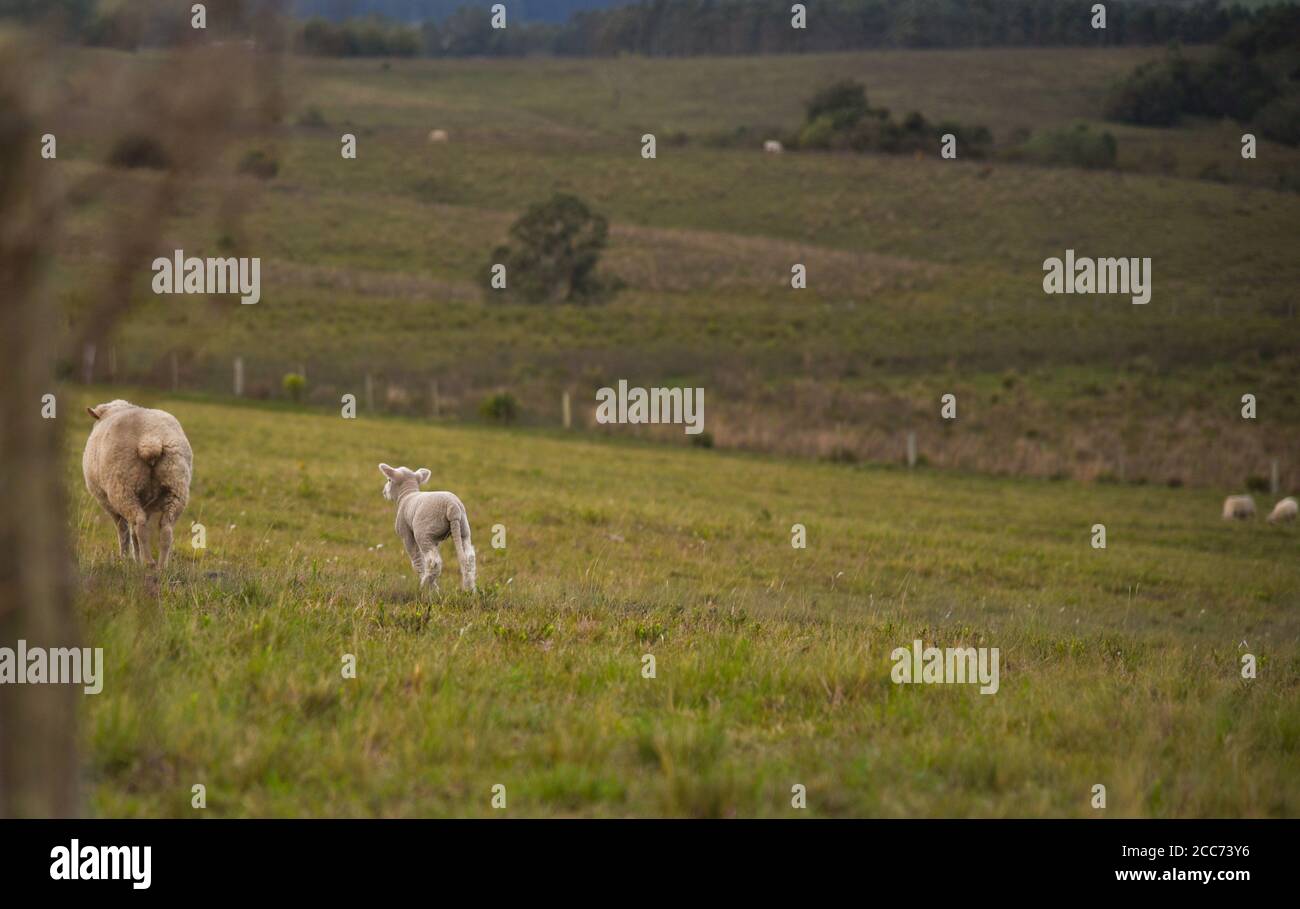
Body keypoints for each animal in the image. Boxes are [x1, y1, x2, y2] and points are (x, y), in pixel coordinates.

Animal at [83, 399, 193, 569]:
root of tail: (150, 440)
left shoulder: (108, 504)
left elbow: (123, 530)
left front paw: (125, 559)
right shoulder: (146, 504)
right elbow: (133, 533)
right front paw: (136, 557)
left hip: (123, 489)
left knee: (139, 524)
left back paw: (148, 562)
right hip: (176, 488)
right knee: (165, 528)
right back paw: (162, 566)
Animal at [378, 463, 475, 592]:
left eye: (389, 480)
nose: (384, 492)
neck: (407, 495)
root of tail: (452, 507)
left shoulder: (406, 533)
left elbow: (417, 559)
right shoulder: (436, 539)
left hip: (424, 531)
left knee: (434, 562)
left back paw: (426, 585)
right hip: (462, 529)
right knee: (469, 557)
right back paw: (470, 588)